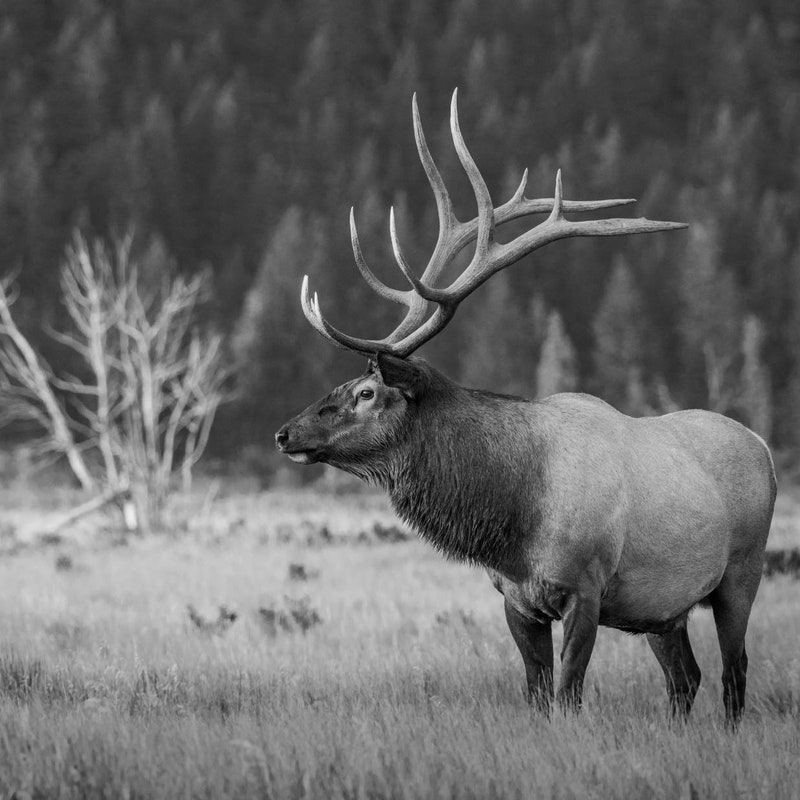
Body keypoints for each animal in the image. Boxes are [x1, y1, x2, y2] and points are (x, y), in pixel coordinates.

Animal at [275, 90, 777, 723]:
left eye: (367, 393)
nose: (285, 433)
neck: (513, 519)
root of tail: (764, 447)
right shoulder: (515, 600)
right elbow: (537, 696)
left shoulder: (587, 588)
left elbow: (569, 693)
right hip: (665, 606)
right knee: (686, 678)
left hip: (741, 571)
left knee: (735, 674)